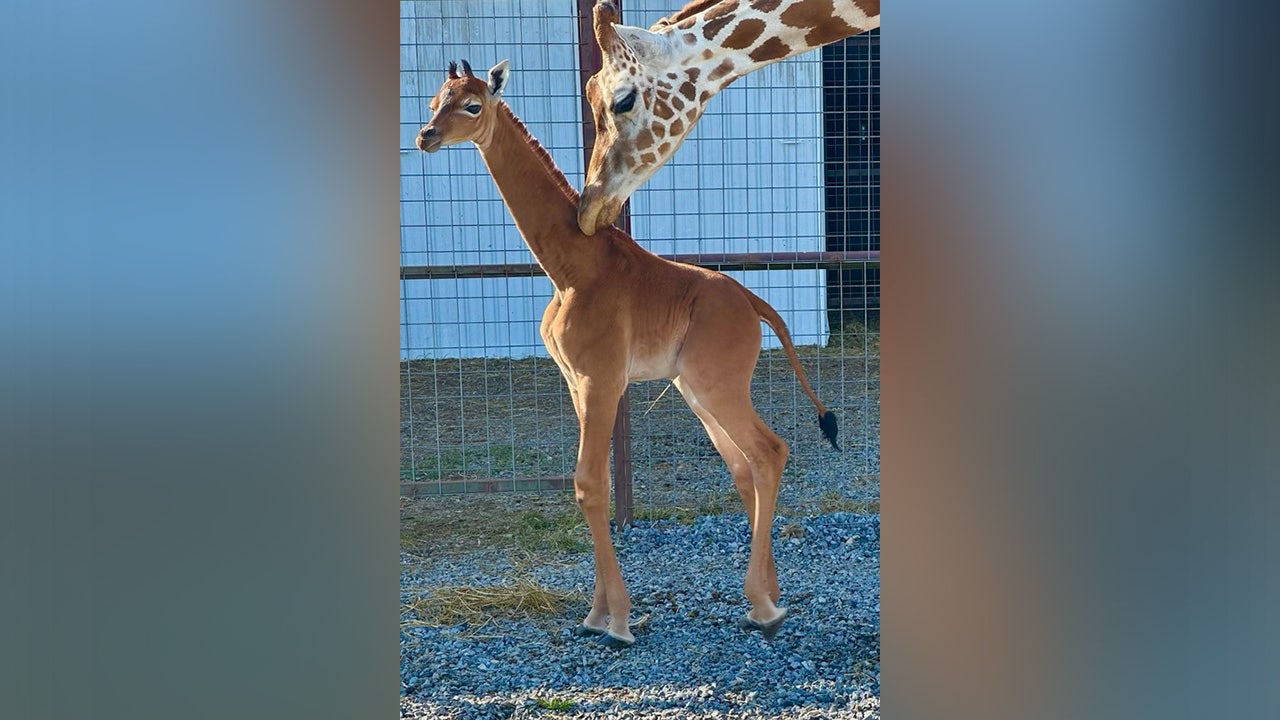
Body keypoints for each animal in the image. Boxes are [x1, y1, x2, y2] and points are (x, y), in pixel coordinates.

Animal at [416, 59, 840, 647]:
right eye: (434, 100)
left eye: (472, 105)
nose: (425, 136)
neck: (570, 268)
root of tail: (755, 303)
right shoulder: (577, 382)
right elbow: (591, 486)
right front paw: (596, 614)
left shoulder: (602, 379)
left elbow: (590, 484)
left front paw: (615, 620)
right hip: (695, 389)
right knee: (744, 464)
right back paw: (771, 596)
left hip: (717, 384)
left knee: (768, 451)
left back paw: (762, 606)